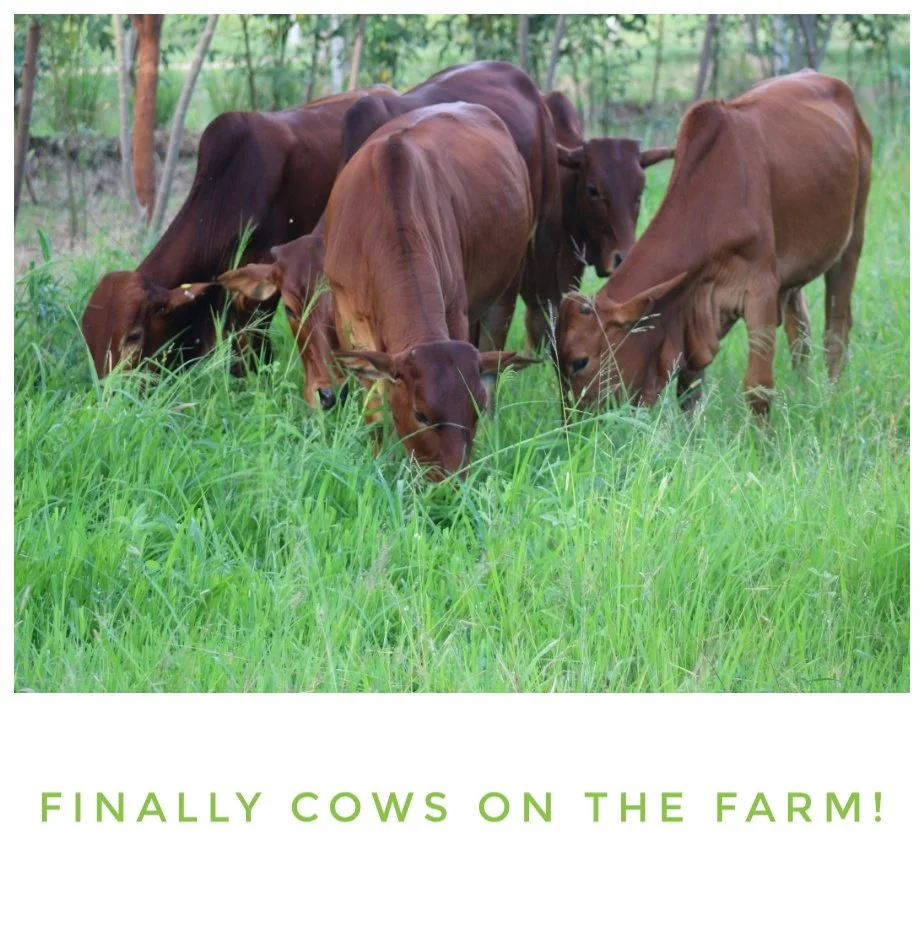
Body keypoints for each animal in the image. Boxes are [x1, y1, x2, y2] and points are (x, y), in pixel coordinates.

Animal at [320, 102, 540, 481]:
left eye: (473, 411)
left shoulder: (455, 310)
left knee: (494, 365)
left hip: (507, 289)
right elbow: (374, 411)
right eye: (420, 414)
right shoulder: (349, 320)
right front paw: (378, 461)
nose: (451, 483)